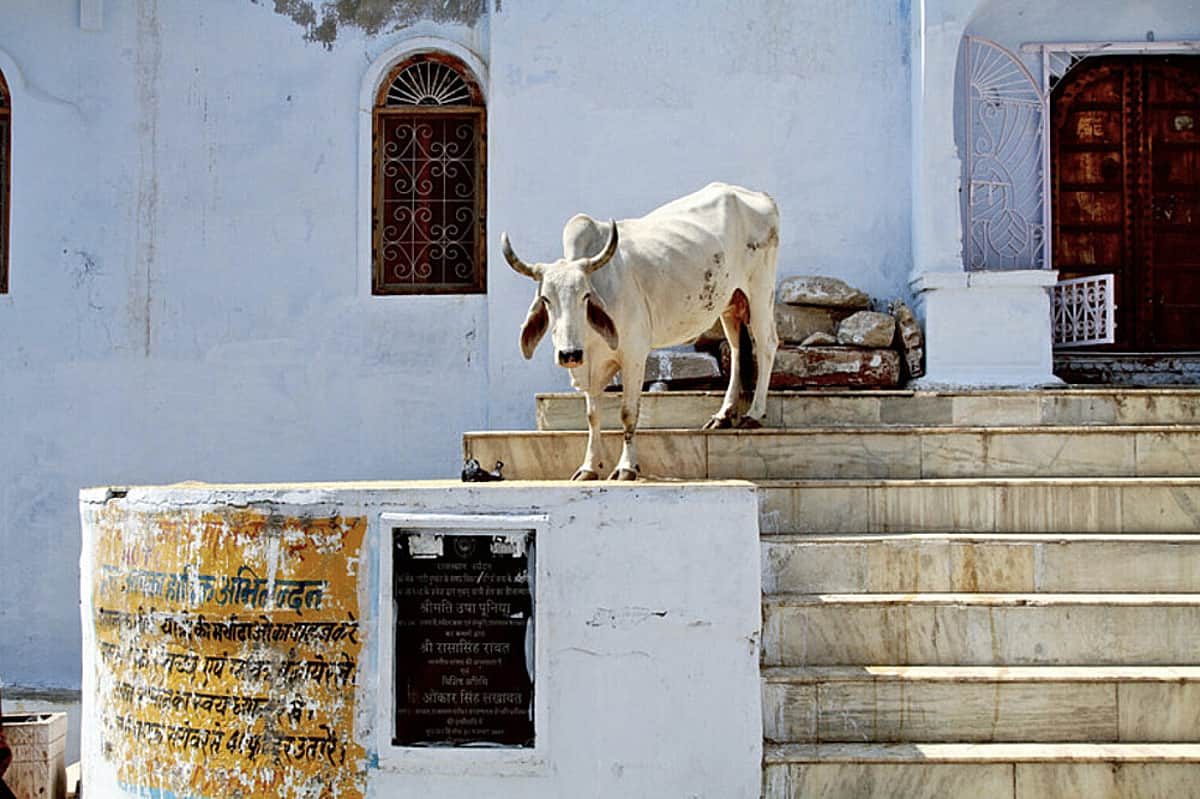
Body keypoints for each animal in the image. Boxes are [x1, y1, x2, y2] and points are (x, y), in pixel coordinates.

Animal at [504, 182, 777, 479]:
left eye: (586, 296)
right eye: (546, 299)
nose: (569, 354)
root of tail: (759, 196)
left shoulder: (633, 355)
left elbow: (628, 413)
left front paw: (626, 467)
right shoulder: (590, 366)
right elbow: (592, 415)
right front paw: (588, 467)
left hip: (760, 292)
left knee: (766, 345)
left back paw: (754, 414)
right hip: (730, 301)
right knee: (737, 349)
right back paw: (723, 415)